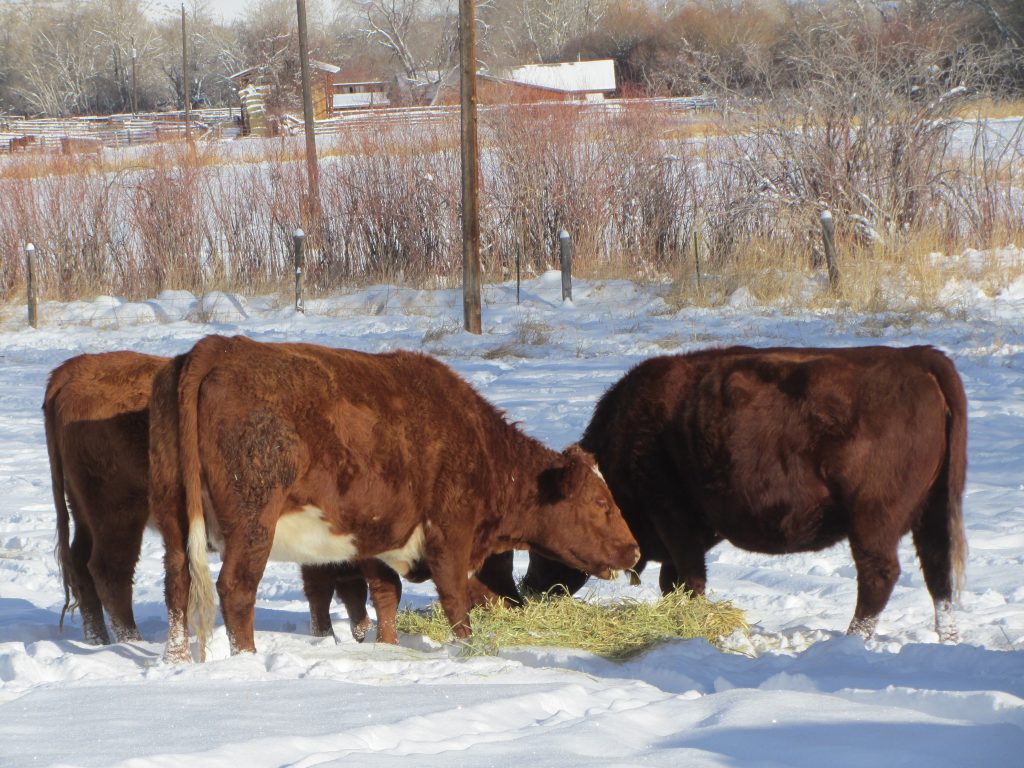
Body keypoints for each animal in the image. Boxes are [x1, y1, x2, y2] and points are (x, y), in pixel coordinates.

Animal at [43, 351, 372, 646]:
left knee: (81, 567)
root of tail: (73, 369)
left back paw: (99, 641)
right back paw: (131, 641)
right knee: (110, 572)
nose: (362, 627)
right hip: (118, 516)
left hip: (84, 514)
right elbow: (325, 583)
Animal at [149, 335, 639, 661]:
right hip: (253, 523)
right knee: (235, 589)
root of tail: (217, 347)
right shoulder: (449, 533)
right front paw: (466, 648)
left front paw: (387, 646)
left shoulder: (376, 535)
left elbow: (387, 594)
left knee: (178, 586)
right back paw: (247, 659)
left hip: (176, 520)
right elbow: (455, 598)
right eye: (600, 503)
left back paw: (176, 659)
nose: (634, 550)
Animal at [522, 345, 968, 642]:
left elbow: (688, 580)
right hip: (932, 513)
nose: (529, 589)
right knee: (938, 578)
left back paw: (851, 640)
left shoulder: (675, 521)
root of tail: (917, 358)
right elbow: (675, 581)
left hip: (872, 522)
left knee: (879, 576)